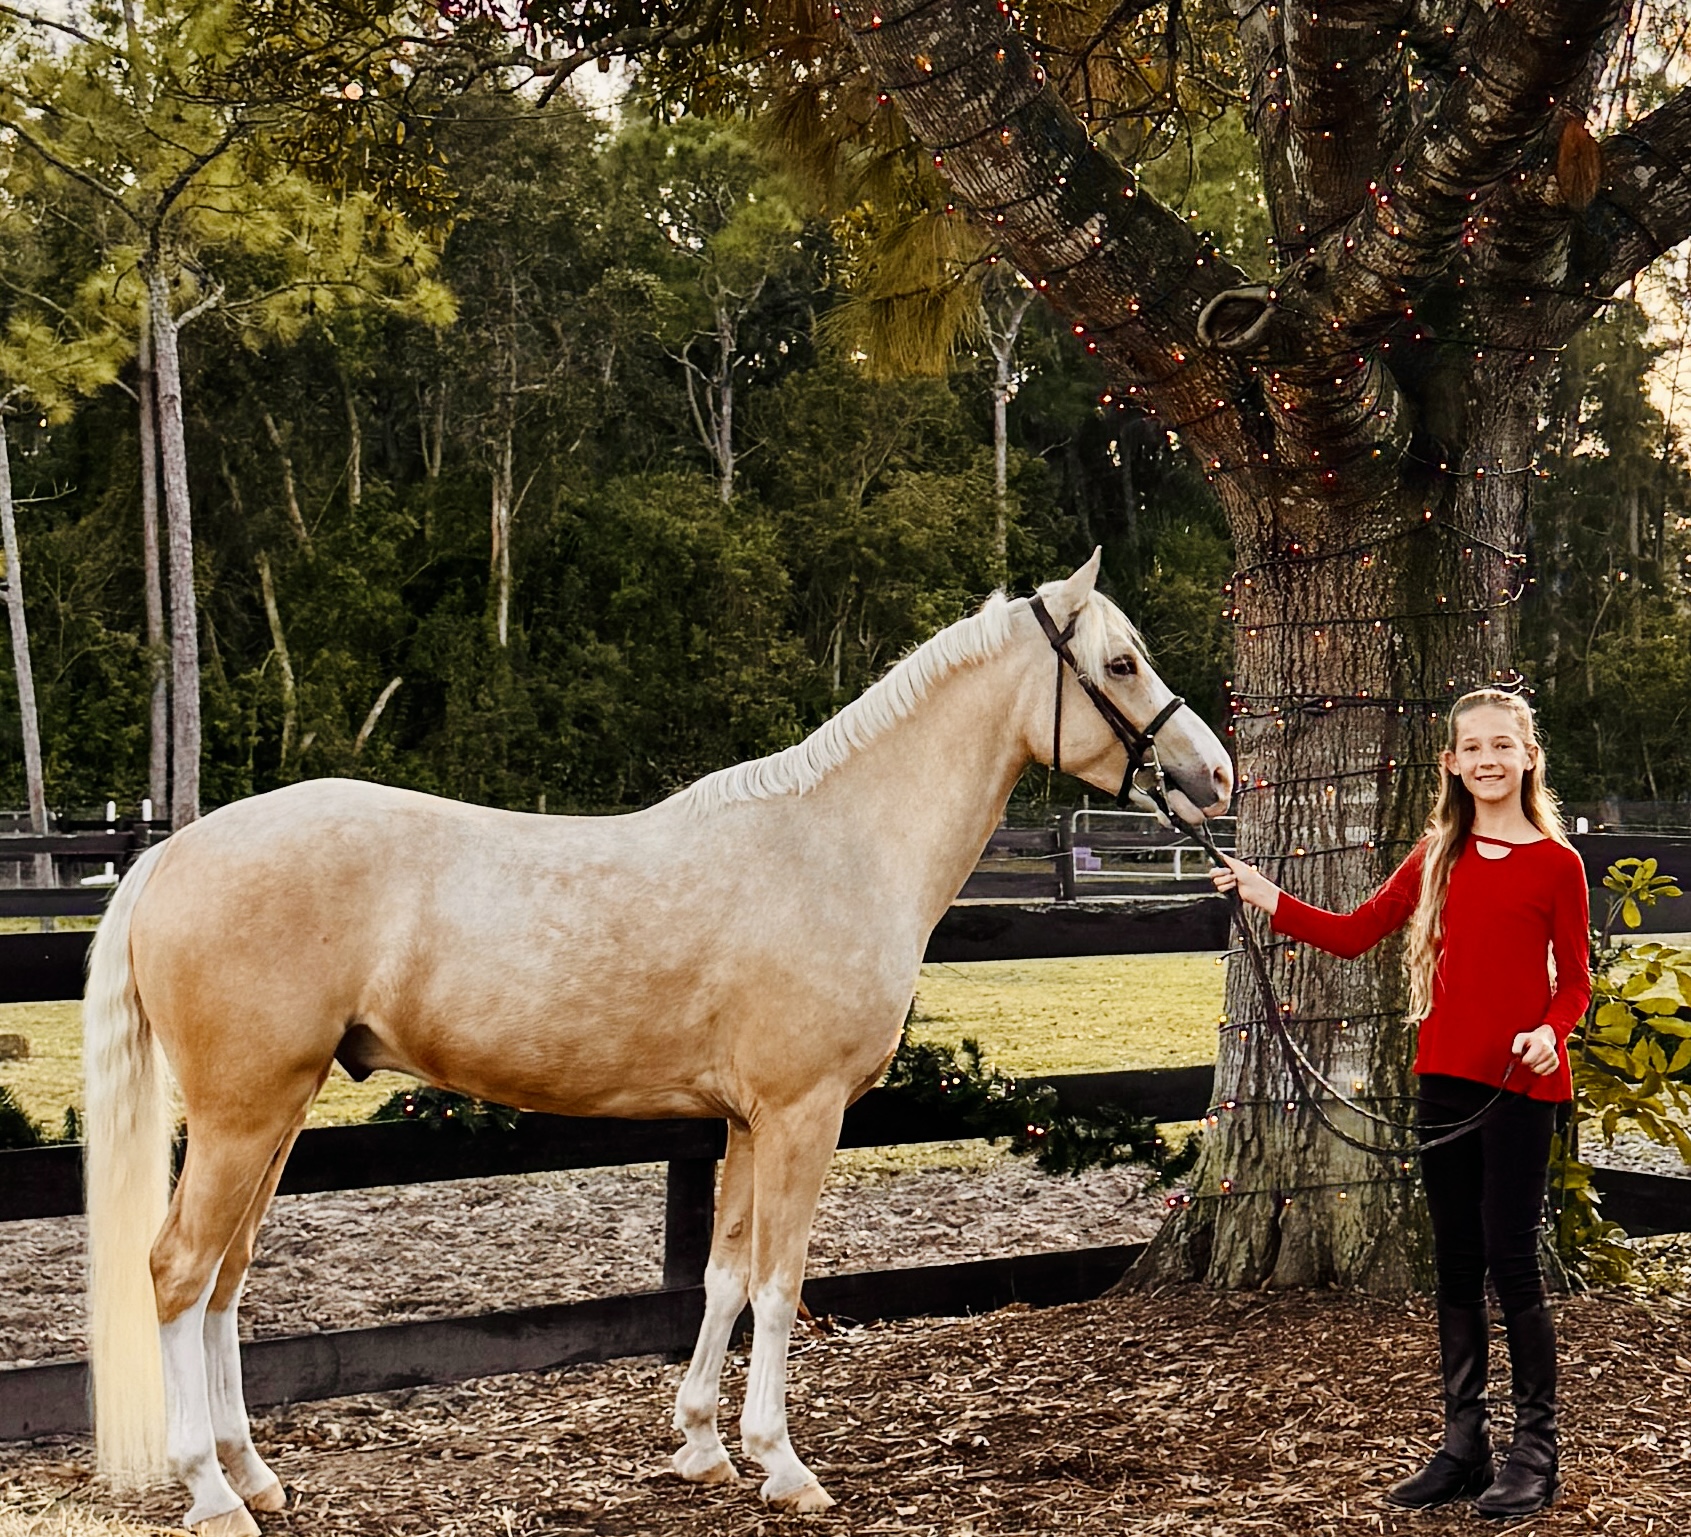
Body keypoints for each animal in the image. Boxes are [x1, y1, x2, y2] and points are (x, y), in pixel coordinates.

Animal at [82, 551, 1232, 1534]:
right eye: (1120, 663)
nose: (1213, 774)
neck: (835, 844)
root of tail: (174, 851)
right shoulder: (803, 1114)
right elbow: (778, 1282)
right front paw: (782, 1463)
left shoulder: (744, 1122)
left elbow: (722, 1276)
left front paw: (702, 1446)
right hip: (244, 1111)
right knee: (179, 1270)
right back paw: (209, 1491)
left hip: (274, 1112)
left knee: (225, 1278)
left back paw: (254, 1475)